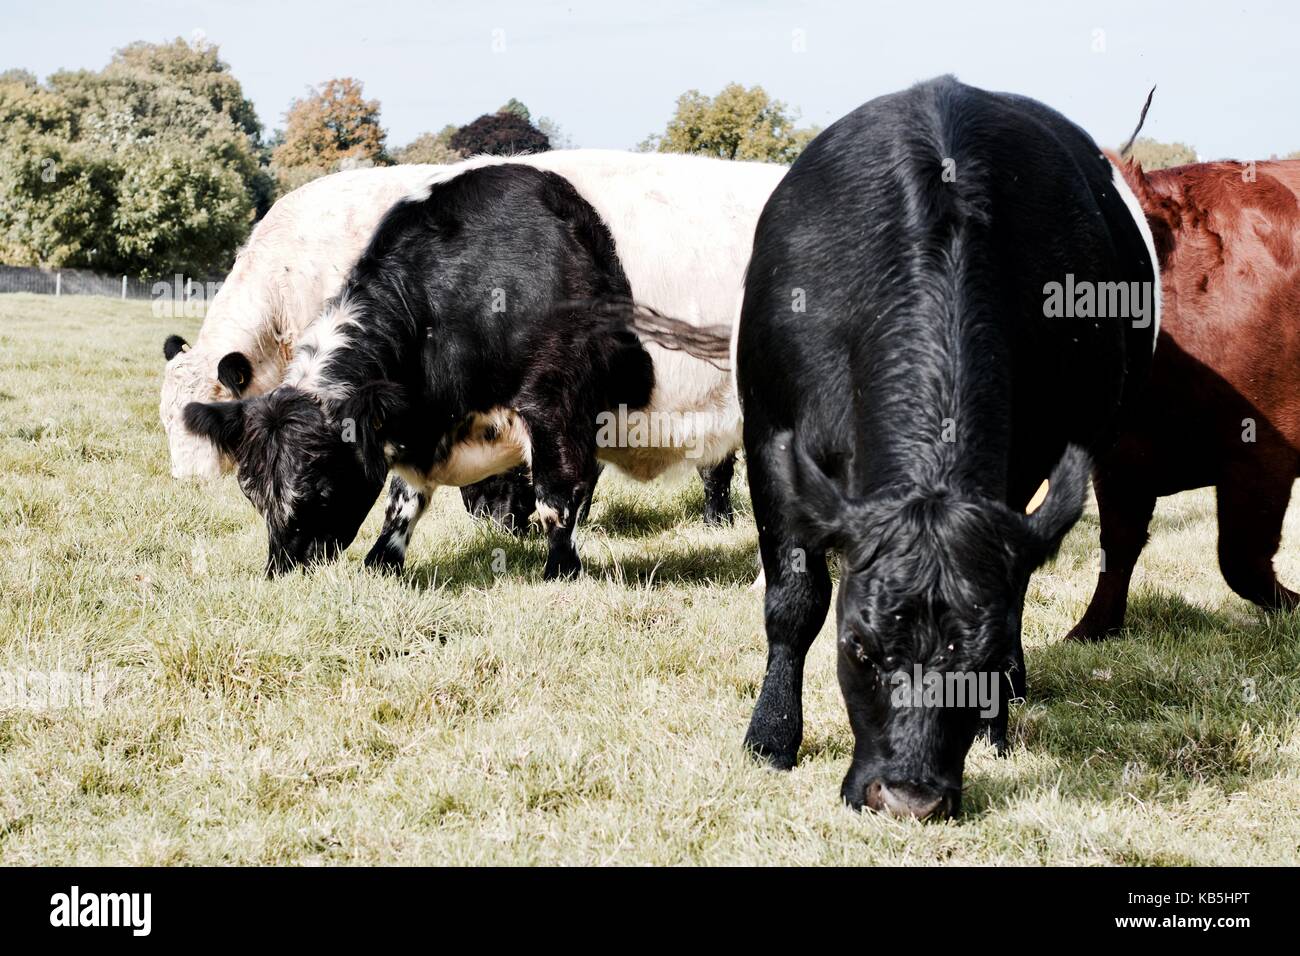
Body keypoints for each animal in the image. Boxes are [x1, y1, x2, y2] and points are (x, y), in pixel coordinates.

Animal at [180, 150, 785, 577]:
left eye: (323, 486)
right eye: (252, 491)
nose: (285, 569)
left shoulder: (557, 405)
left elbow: (559, 495)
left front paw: (561, 570)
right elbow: (404, 498)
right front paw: (383, 561)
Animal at [735, 77, 1158, 819]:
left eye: (977, 663)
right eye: (859, 648)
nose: (908, 798)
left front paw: (995, 718)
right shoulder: (766, 432)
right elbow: (793, 600)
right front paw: (771, 737)